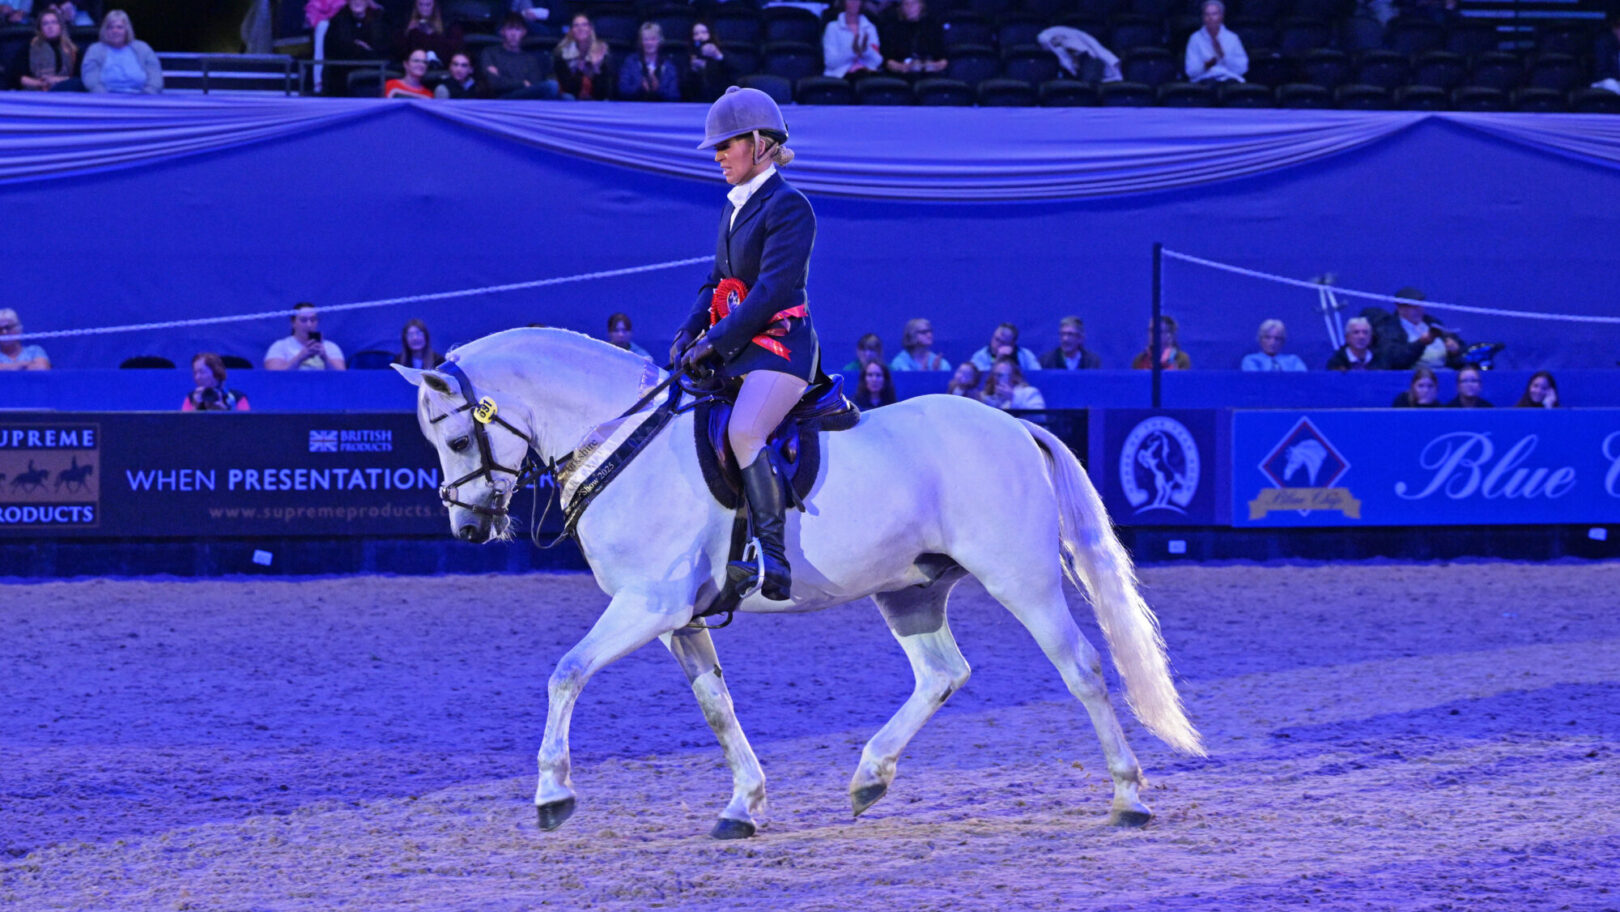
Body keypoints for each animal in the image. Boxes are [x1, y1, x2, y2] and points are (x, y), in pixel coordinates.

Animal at [395, 328, 1203, 839]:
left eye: (460, 436)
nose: (469, 529)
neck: (623, 442)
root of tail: (1014, 426)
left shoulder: (648, 604)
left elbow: (565, 673)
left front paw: (553, 794)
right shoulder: (680, 619)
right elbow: (717, 709)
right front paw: (743, 806)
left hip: (1021, 580)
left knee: (1084, 669)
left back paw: (1128, 797)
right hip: (909, 589)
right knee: (943, 674)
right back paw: (870, 776)